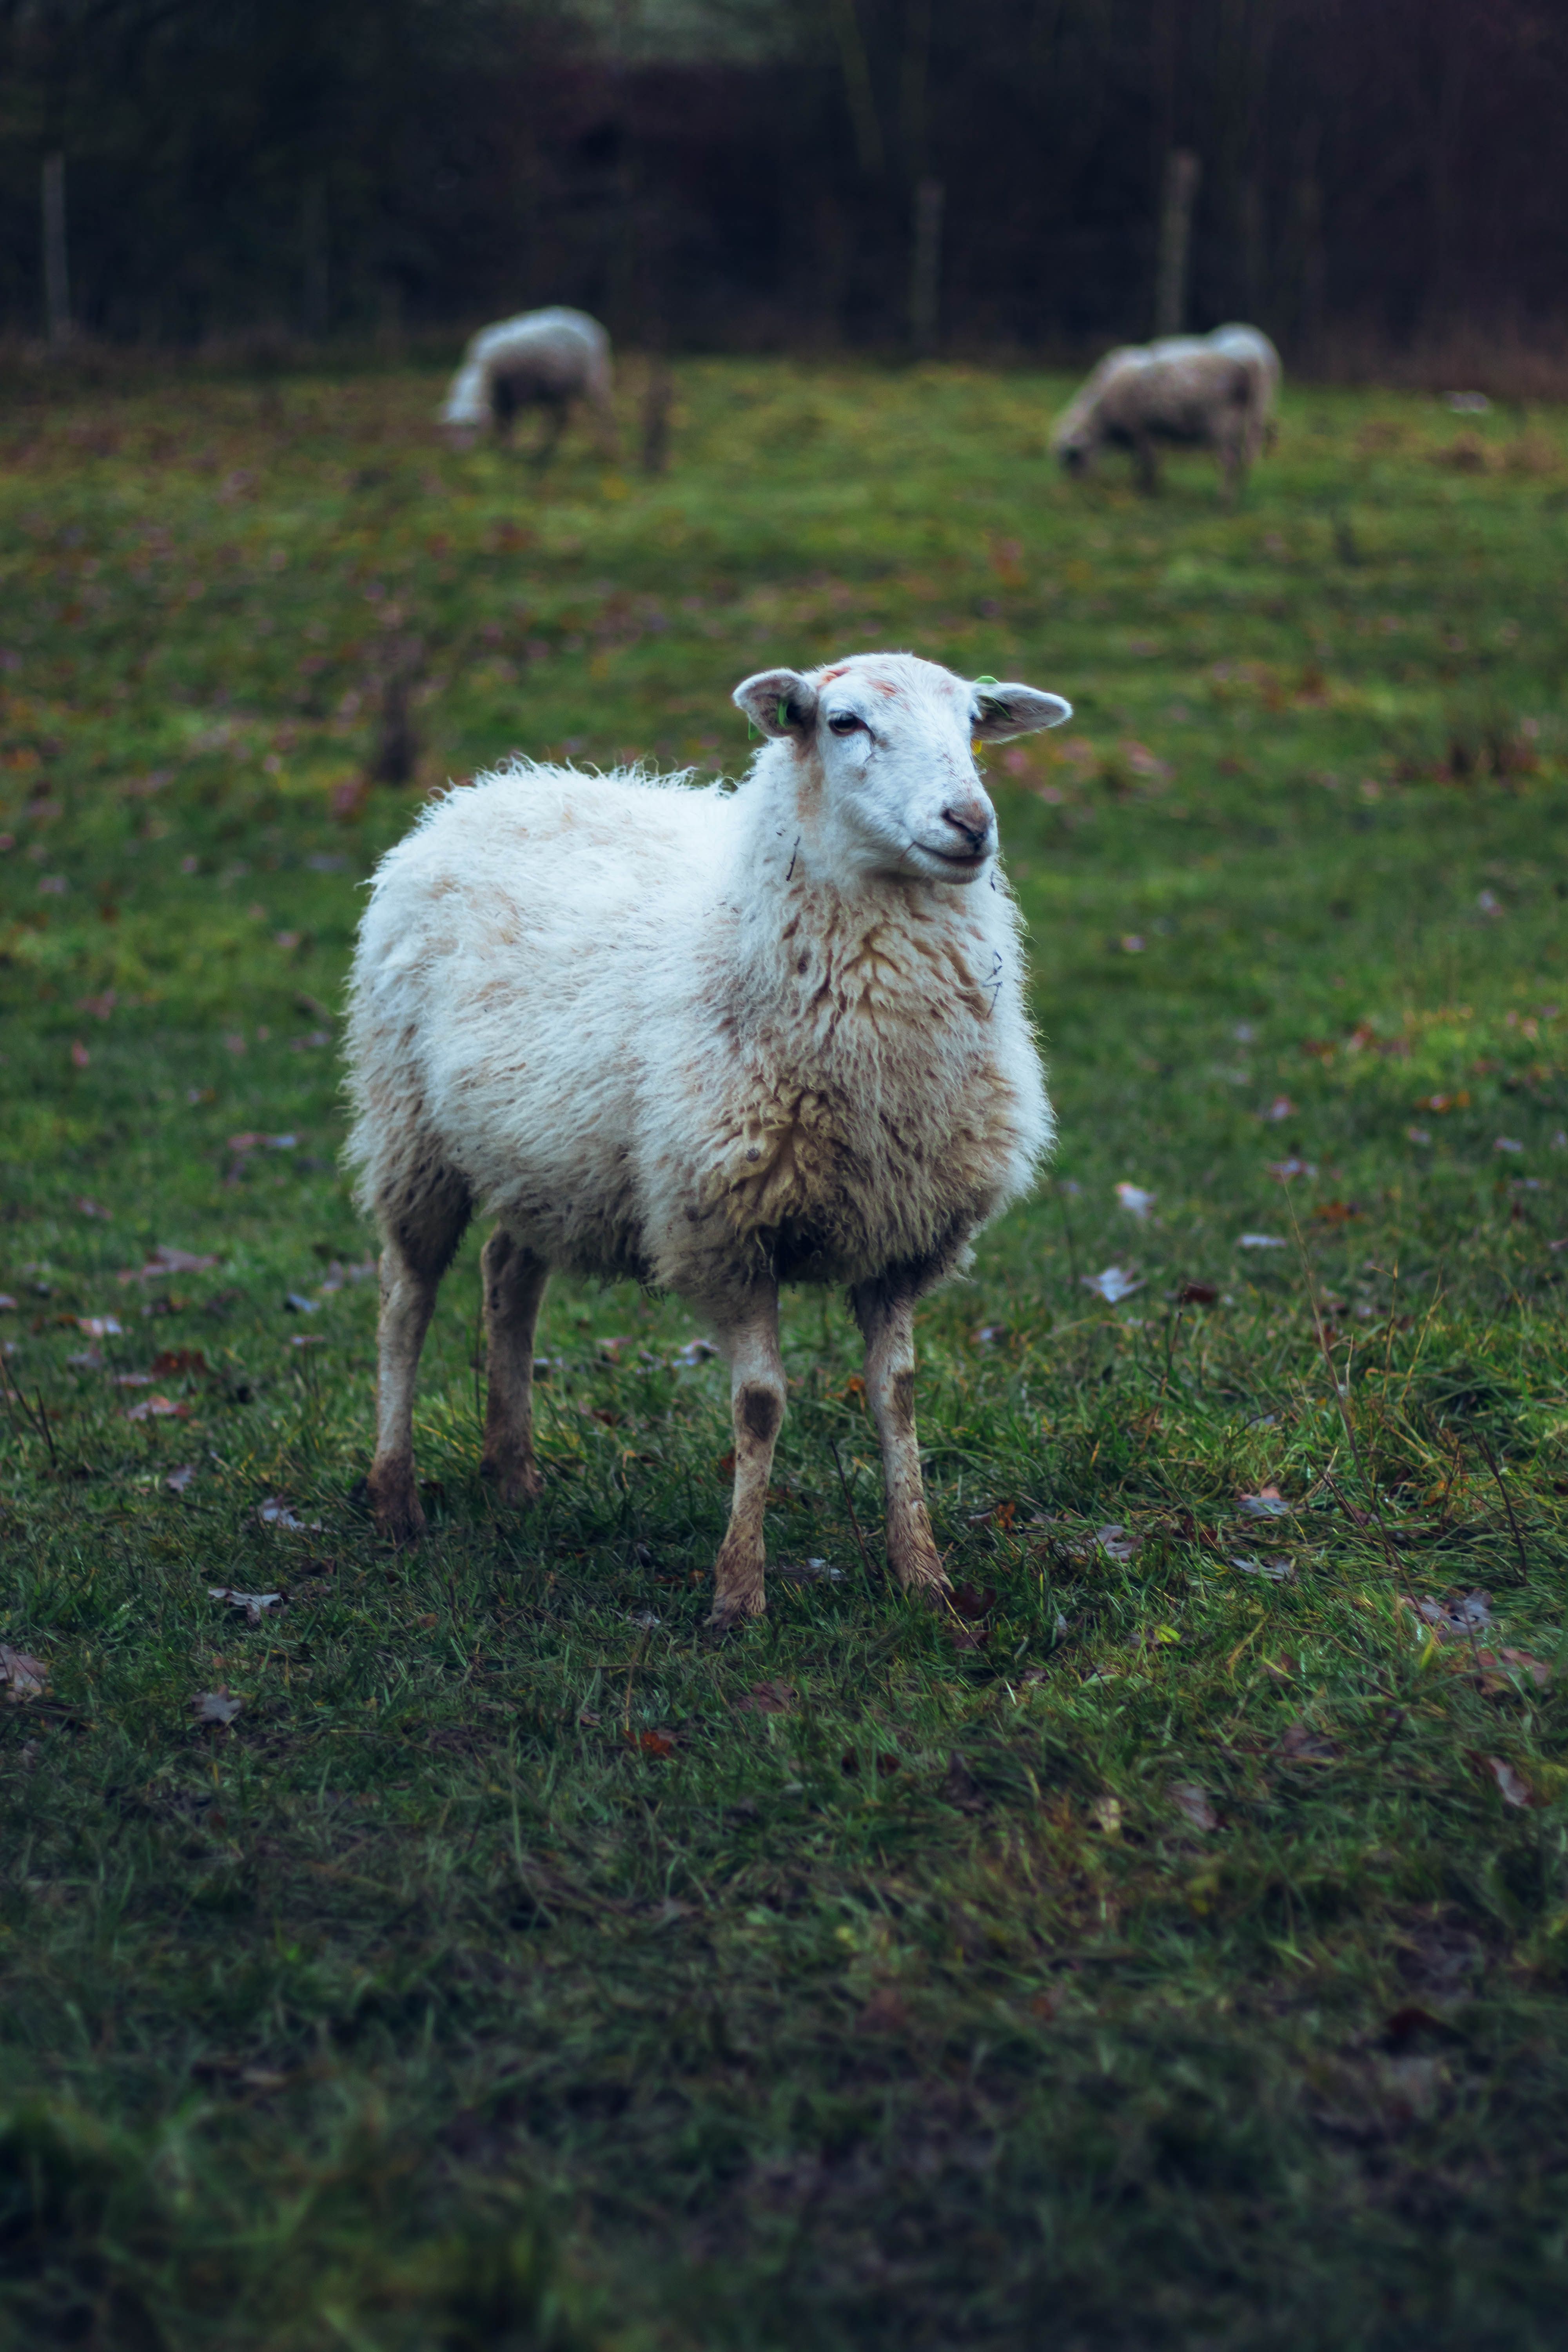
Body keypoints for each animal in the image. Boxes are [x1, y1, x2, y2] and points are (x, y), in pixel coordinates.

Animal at [344, 652, 1070, 1627]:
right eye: (842, 723)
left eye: (971, 725)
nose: (970, 824)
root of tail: (487, 790)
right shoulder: (724, 1229)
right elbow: (759, 1405)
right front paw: (737, 1593)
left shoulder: (904, 1230)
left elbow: (898, 1398)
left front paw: (921, 1575)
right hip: (409, 1130)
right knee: (405, 1298)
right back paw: (395, 1498)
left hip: (549, 1161)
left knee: (508, 1275)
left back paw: (513, 1475)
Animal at [440, 307, 615, 462]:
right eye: (453, 427)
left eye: (473, 427)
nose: (459, 453)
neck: (484, 371)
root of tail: (590, 323)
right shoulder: (503, 400)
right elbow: (500, 424)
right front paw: (499, 447)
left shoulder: (517, 394)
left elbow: (510, 424)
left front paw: (508, 450)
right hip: (555, 390)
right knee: (561, 419)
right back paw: (546, 449)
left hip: (595, 379)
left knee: (603, 413)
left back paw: (609, 448)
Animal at [1051, 323, 1281, 502]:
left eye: (1073, 457)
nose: (1075, 487)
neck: (1102, 416)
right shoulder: (1153, 433)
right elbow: (1151, 461)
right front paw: (1151, 485)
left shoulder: (1140, 430)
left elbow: (1147, 463)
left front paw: (1145, 490)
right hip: (1245, 419)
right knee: (1243, 458)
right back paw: (1241, 490)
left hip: (1222, 422)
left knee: (1231, 460)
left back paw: (1224, 500)